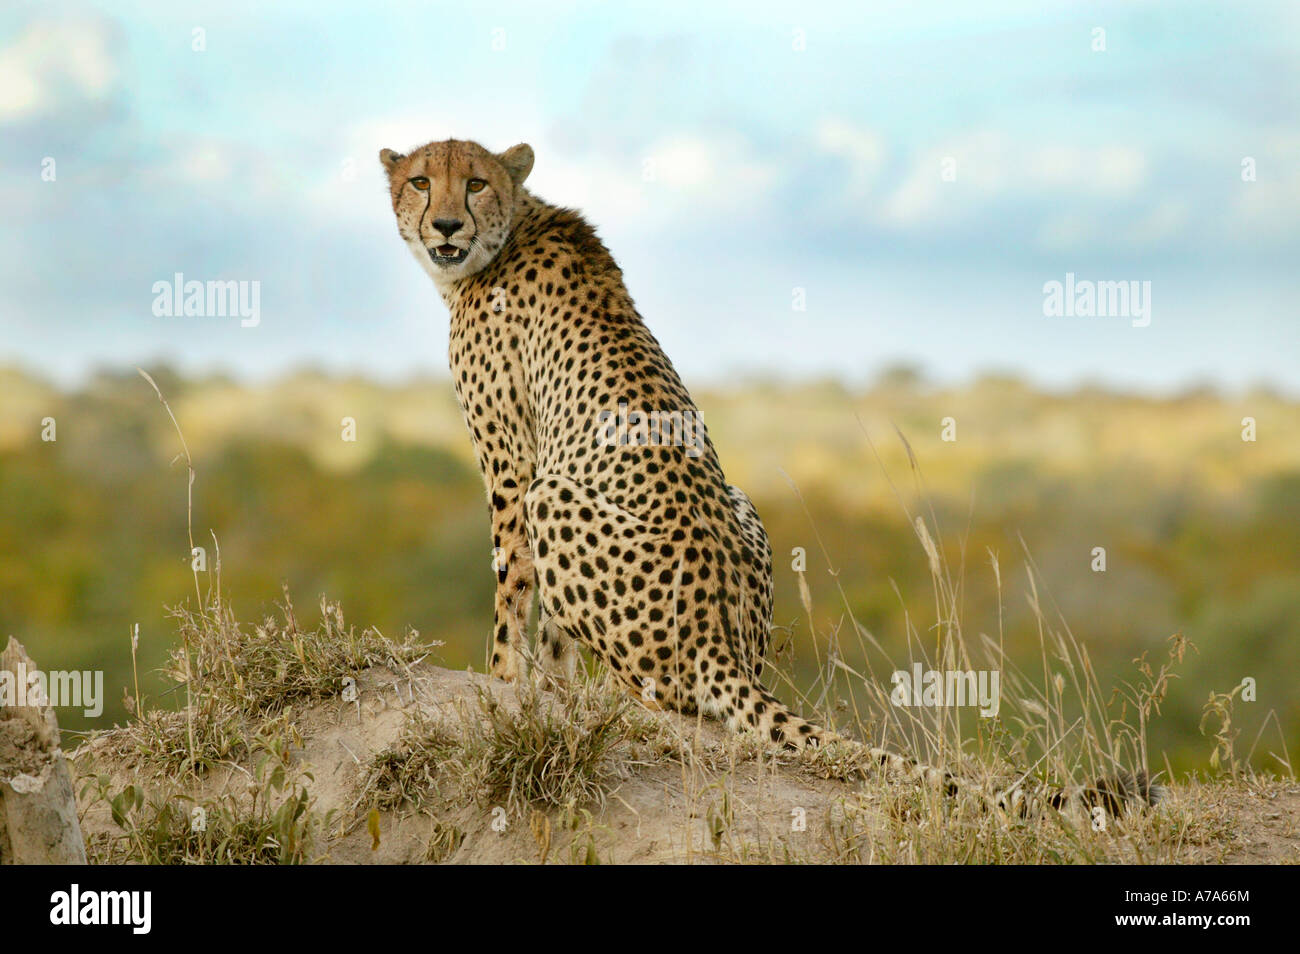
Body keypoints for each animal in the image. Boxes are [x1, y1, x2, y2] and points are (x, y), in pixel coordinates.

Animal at [380, 136, 1159, 819]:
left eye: (474, 182)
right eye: (421, 181)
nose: (444, 222)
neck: (509, 230)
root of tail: (724, 639)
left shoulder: (514, 467)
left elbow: (511, 593)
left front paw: (506, 685)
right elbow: (547, 636)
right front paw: (546, 689)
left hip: (558, 502)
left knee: (665, 700)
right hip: (740, 503)